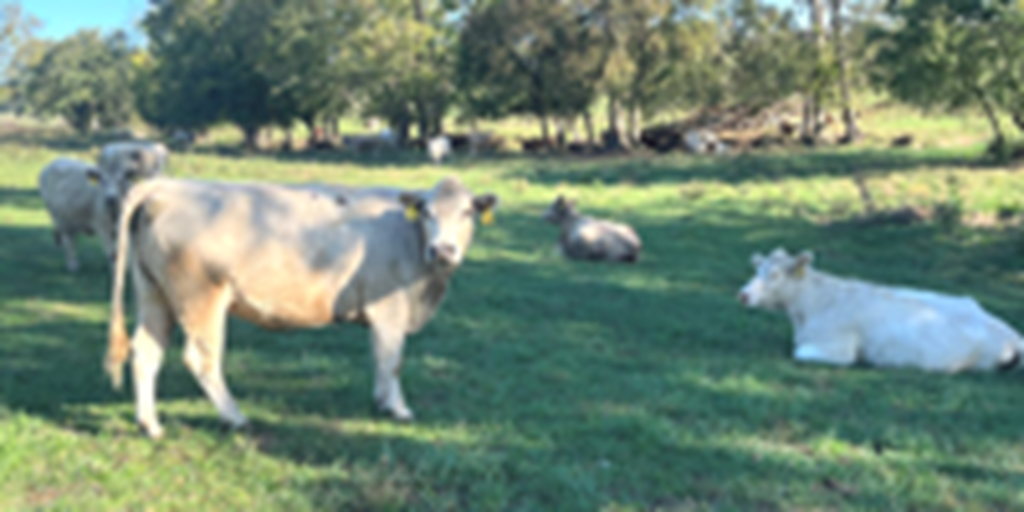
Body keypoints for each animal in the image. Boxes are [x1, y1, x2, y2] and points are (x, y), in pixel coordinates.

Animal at [104, 176, 499, 439]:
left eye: (468, 212)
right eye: (427, 212)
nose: (443, 250)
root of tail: (168, 186)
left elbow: (379, 358)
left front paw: (381, 400)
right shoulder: (389, 309)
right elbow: (393, 360)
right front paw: (397, 408)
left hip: (154, 294)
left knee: (145, 352)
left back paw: (150, 424)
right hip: (200, 296)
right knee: (201, 359)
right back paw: (235, 417)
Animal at [738, 248, 1023, 372]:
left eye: (774, 274)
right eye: (757, 269)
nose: (743, 294)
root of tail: (1012, 336)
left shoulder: (837, 350)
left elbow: (798, 353)